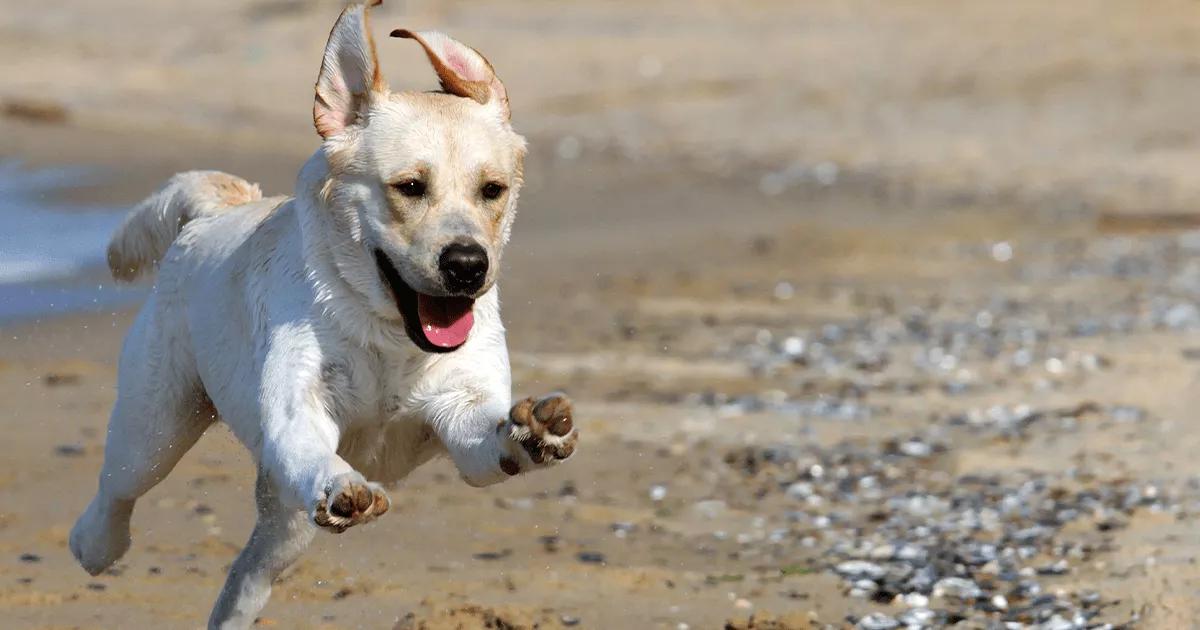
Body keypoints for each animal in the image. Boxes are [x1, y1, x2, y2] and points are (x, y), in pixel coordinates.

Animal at [66, 2, 580, 624]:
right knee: (118, 489)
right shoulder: (297, 414)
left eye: (492, 190)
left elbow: (492, 438)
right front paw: (343, 489)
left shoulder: (462, 411)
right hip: (156, 426)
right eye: (410, 186)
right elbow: (316, 453)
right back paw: (94, 545)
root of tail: (217, 210)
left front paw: (534, 434)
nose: (467, 265)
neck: (390, 337)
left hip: (283, 521)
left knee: (247, 574)